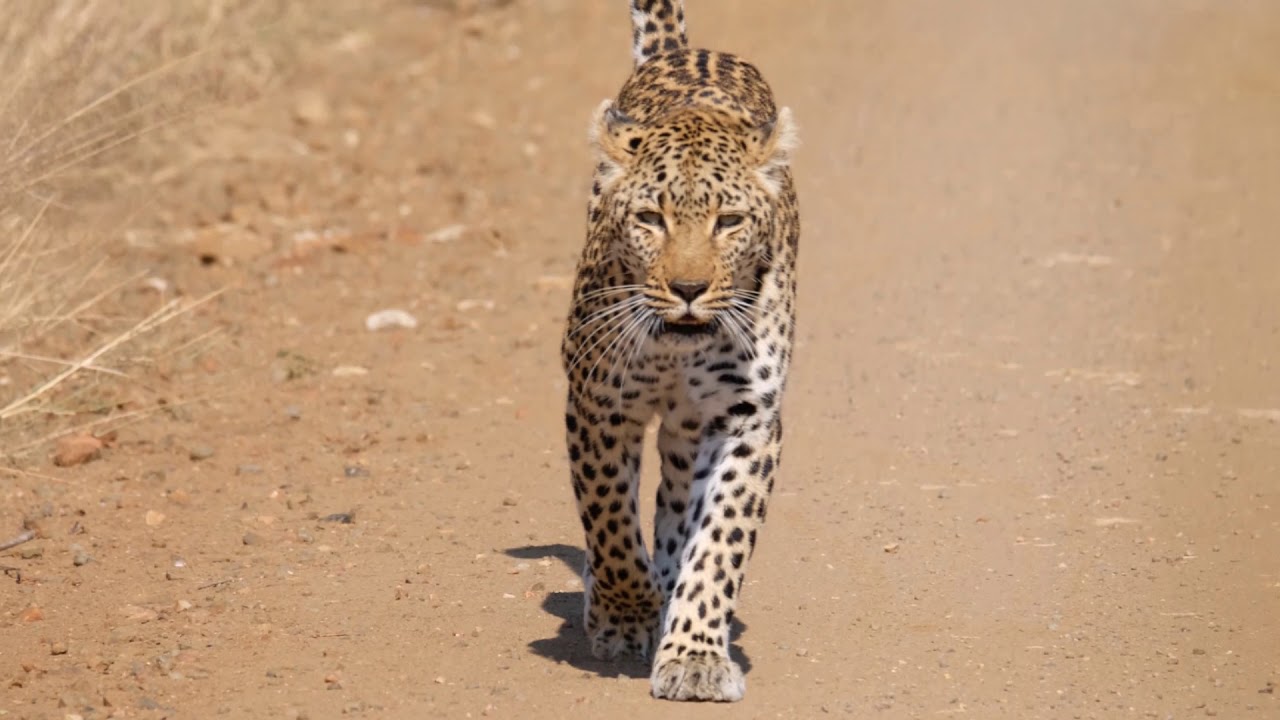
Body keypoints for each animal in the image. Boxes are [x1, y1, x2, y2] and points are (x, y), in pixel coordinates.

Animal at [560, 0, 799, 703]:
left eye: (729, 222)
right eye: (650, 219)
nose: (688, 290)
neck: (677, 352)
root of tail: (683, 53)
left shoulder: (746, 421)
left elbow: (719, 542)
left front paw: (693, 654)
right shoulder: (597, 403)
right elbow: (609, 518)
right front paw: (623, 615)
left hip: (690, 431)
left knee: (675, 501)